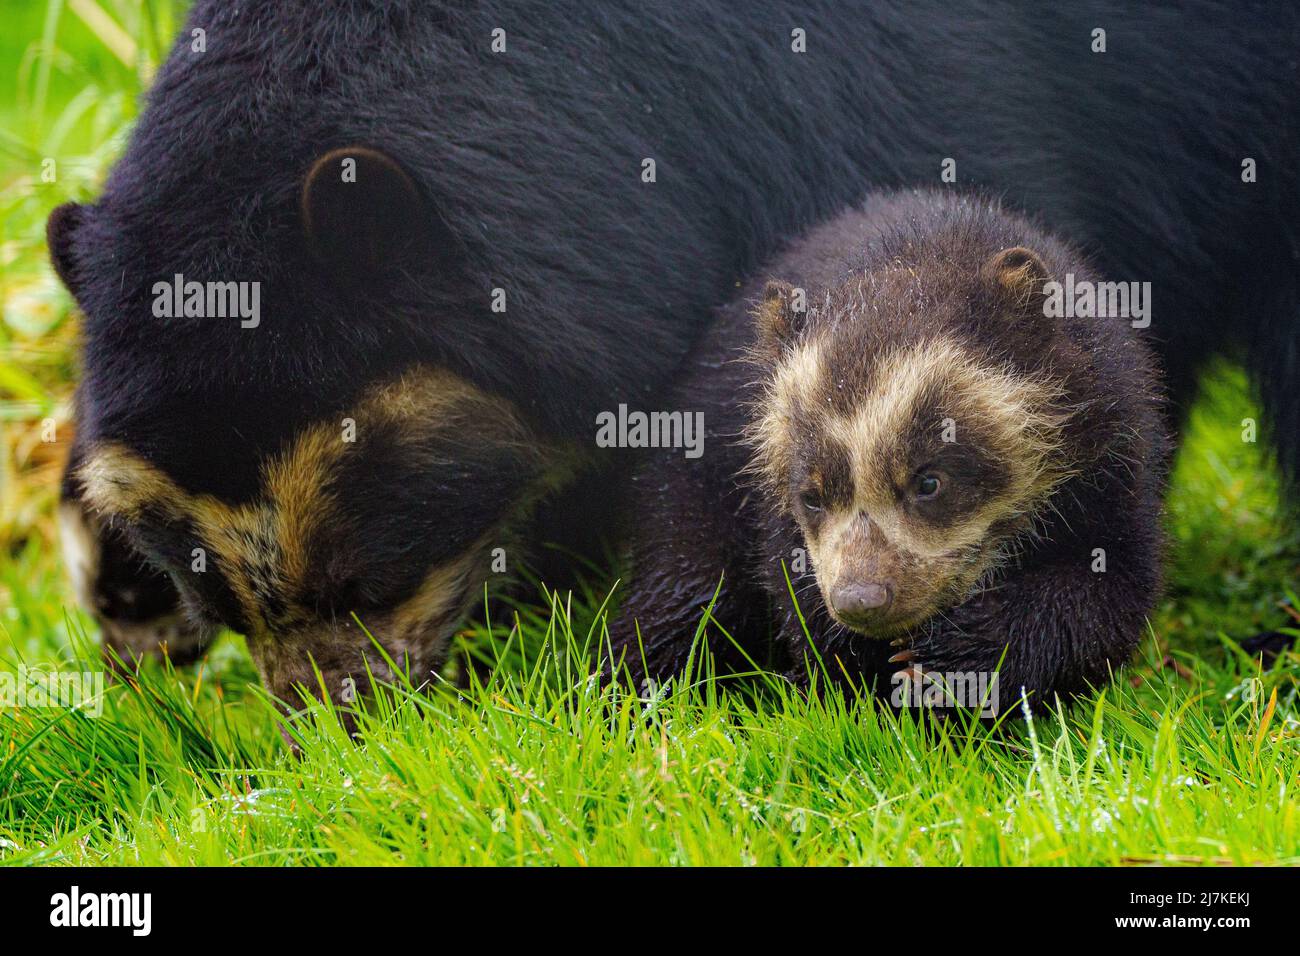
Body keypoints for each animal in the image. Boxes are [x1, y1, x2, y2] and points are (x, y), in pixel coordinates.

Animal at [611, 190, 1170, 714]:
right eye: (812, 496)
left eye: (929, 482)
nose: (861, 601)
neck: (914, 253)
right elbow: (796, 592)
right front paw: (856, 684)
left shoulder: (1114, 456)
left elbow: (1108, 588)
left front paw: (946, 664)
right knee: (687, 590)